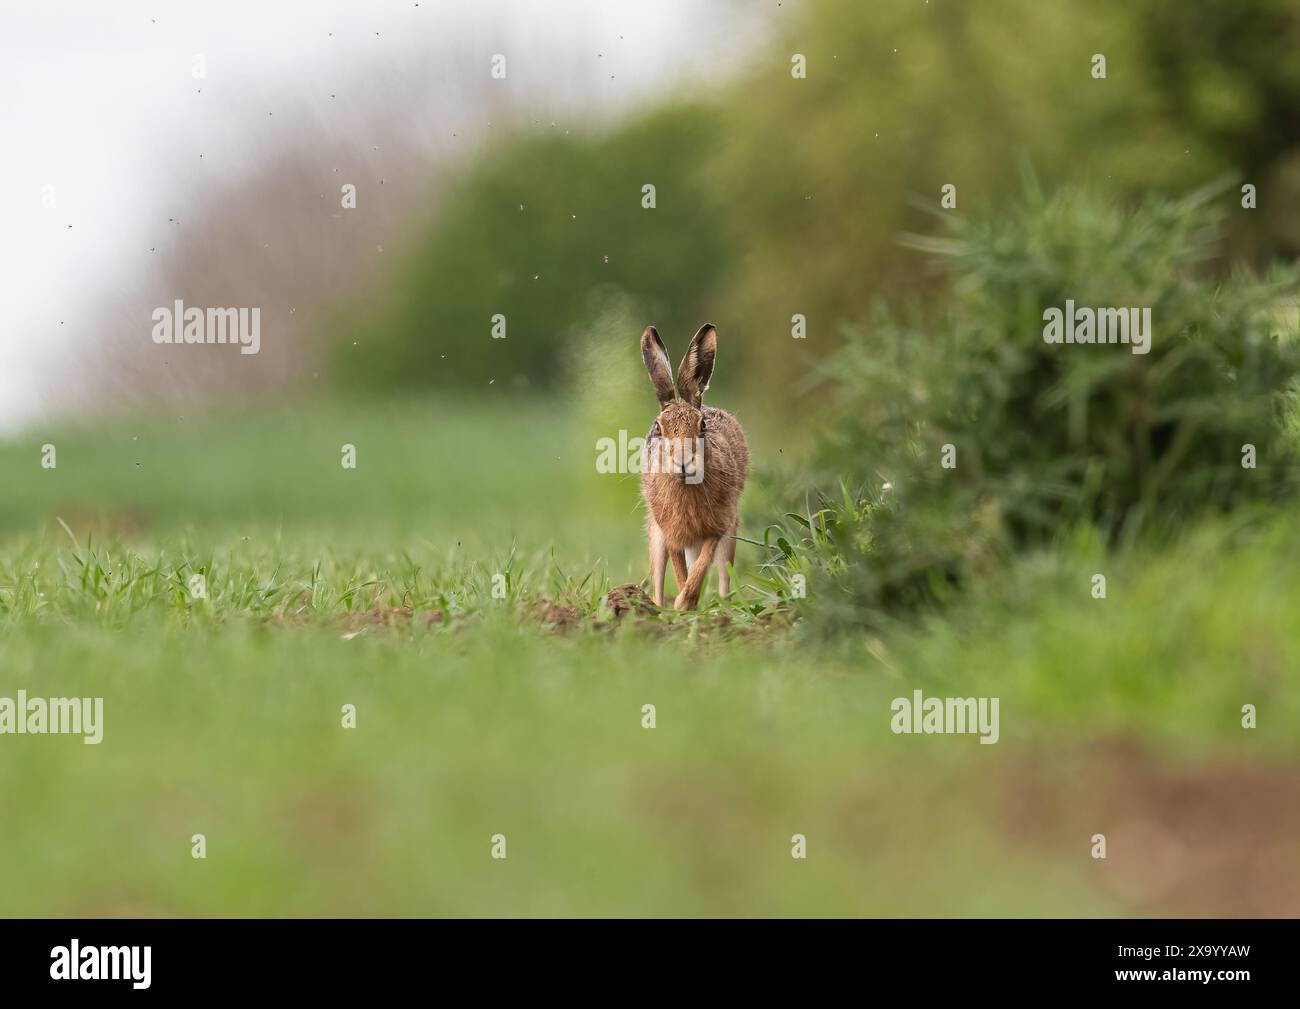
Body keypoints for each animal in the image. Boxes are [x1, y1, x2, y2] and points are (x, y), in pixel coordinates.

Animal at [640, 324, 749, 610]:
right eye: (659, 428)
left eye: (702, 425)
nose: (683, 463)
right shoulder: (670, 533)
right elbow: (680, 571)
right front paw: (681, 605)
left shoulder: (718, 527)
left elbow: (700, 567)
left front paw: (684, 602)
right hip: (655, 534)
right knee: (657, 577)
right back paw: (655, 609)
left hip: (731, 534)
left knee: (723, 574)